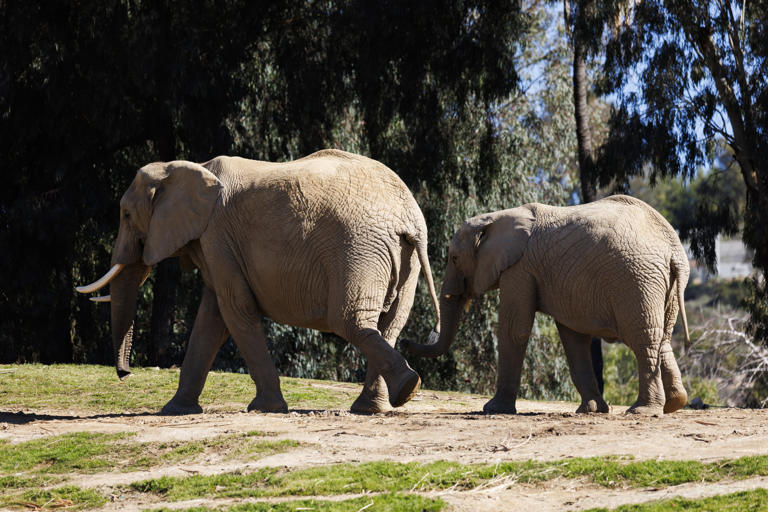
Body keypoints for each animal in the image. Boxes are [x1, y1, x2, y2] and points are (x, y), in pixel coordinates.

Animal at [76, 149, 440, 415]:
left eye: (126, 215)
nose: (125, 374)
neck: (185, 167)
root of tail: (409, 216)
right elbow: (211, 318)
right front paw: (175, 410)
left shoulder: (217, 235)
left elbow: (235, 310)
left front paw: (265, 408)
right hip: (398, 257)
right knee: (389, 324)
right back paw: (379, 404)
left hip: (358, 248)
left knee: (350, 320)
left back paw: (403, 390)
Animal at [404, 195, 690, 416]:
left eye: (454, 258)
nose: (406, 342)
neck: (497, 217)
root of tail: (674, 249)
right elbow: (573, 339)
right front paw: (590, 411)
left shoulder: (518, 269)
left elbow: (514, 330)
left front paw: (492, 409)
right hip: (661, 286)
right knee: (661, 339)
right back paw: (674, 404)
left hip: (636, 280)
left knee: (643, 339)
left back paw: (642, 411)